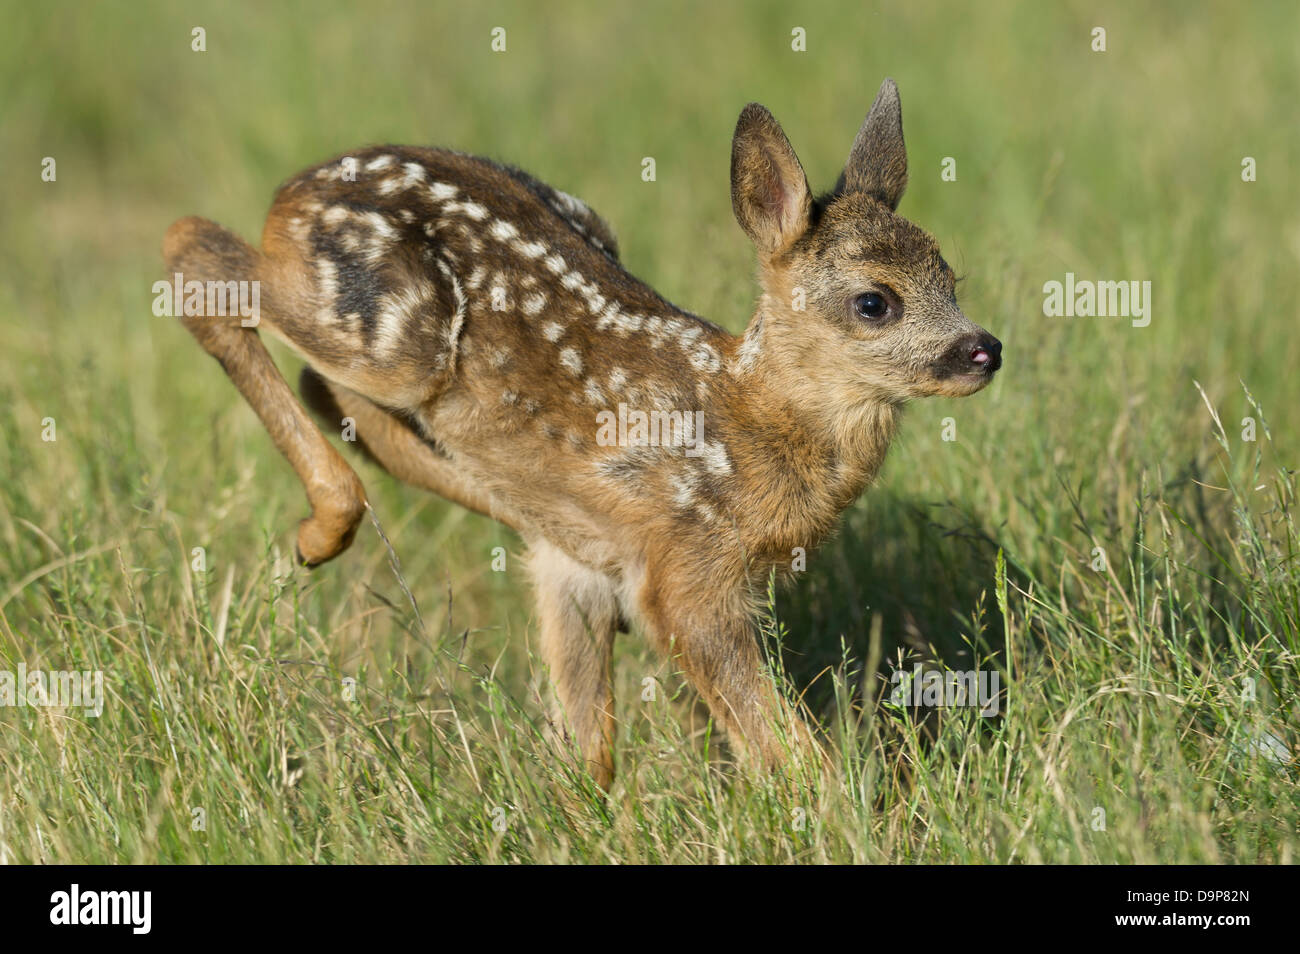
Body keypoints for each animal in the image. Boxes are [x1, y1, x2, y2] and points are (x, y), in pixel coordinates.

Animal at [162, 78, 1002, 790]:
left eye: (950, 277)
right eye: (875, 302)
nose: (983, 349)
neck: (747, 424)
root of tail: (295, 188)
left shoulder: (584, 588)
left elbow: (588, 754)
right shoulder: (691, 575)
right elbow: (787, 752)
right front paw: (854, 820)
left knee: (336, 395)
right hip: (392, 337)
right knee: (197, 250)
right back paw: (323, 529)